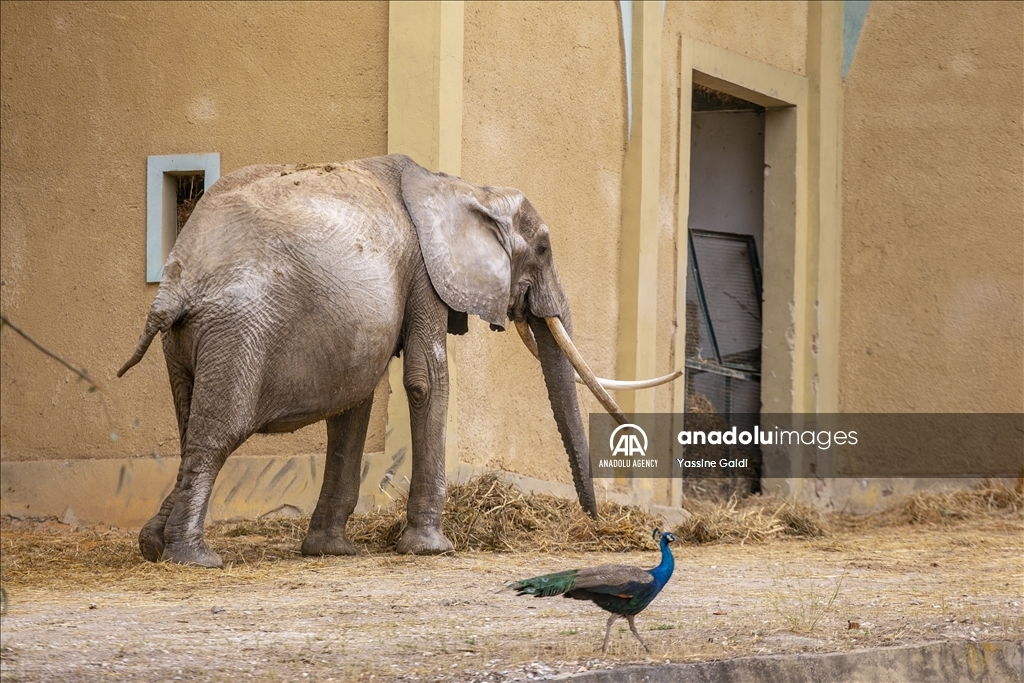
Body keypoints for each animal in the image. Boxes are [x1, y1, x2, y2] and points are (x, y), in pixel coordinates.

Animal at [119, 154, 674, 567]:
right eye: (541, 248)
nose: (595, 523)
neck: (460, 186)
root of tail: (177, 283)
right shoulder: (426, 273)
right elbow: (428, 380)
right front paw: (432, 549)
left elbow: (354, 401)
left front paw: (333, 551)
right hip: (239, 330)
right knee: (217, 435)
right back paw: (194, 559)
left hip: (186, 342)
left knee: (191, 428)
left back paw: (154, 546)